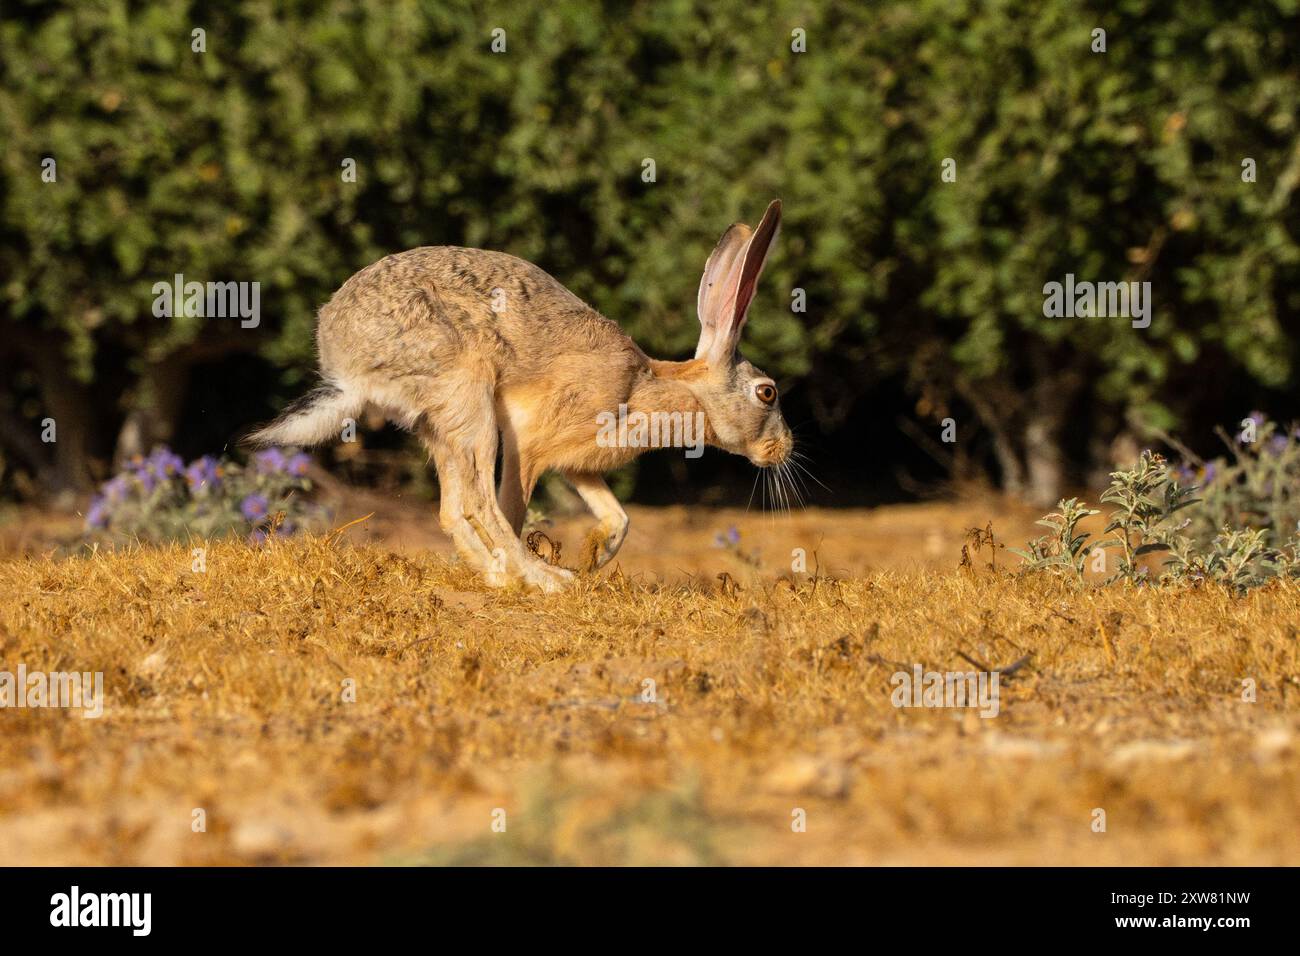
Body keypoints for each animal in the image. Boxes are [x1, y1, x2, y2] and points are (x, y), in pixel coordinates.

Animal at [247, 199, 793, 591]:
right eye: (767, 393)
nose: (783, 449)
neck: (657, 385)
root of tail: (346, 363)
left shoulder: (578, 461)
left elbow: (619, 516)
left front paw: (597, 553)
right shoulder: (532, 443)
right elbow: (511, 506)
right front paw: (544, 570)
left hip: (440, 424)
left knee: (451, 508)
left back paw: (499, 574)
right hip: (468, 399)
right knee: (478, 503)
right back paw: (543, 579)